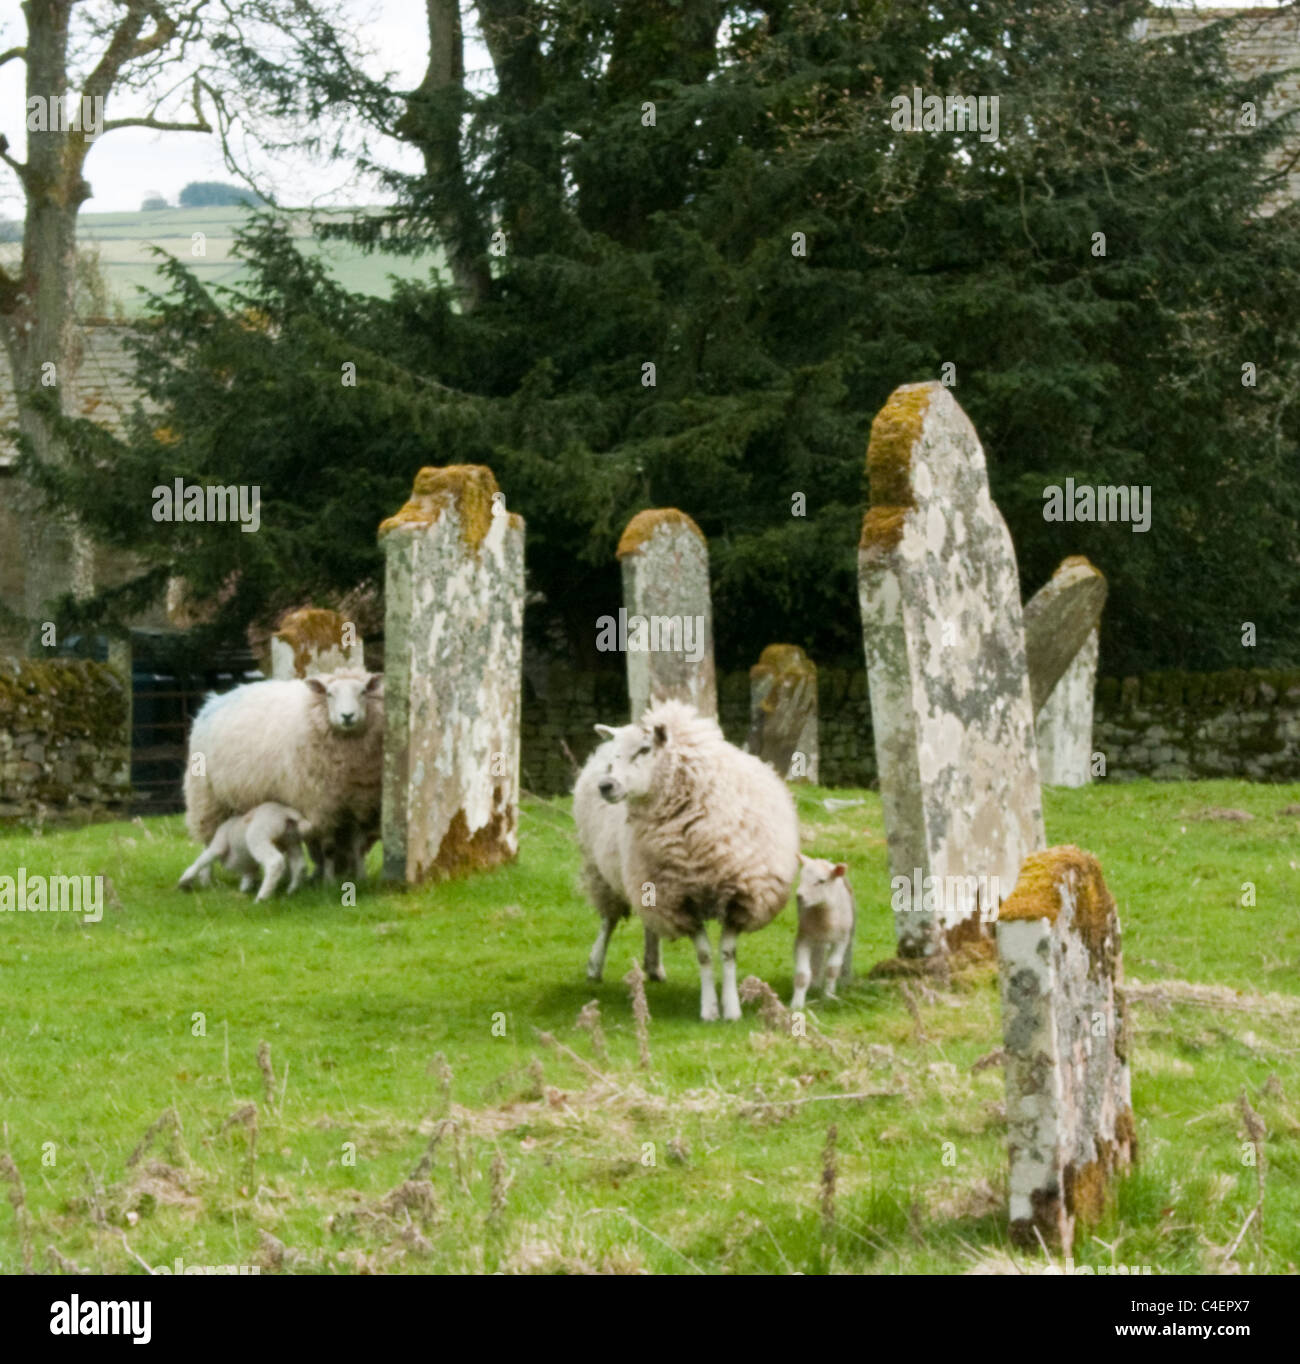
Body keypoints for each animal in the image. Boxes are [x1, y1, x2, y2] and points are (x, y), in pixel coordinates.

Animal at [177, 801, 313, 901]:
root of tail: (286, 813)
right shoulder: (247, 861)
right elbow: (249, 872)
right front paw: (245, 888)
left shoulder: (219, 844)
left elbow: (202, 860)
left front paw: (185, 880)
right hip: (292, 840)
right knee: (300, 865)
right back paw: (292, 889)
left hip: (258, 836)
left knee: (274, 862)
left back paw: (262, 897)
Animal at [183, 669, 383, 882]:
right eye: (329, 694)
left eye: (363, 692)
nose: (347, 716)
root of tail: (214, 700)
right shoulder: (320, 805)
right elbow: (328, 849)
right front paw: (329, 881)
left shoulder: (358, 804)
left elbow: (357, 847)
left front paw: (360, 878)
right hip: (206, 797)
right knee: (208, 840)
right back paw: (206, 879)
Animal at [597, 698, 799, 1021]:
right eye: (613, 753)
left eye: (645, 749)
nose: (605, 785)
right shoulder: (680, 901)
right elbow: (704, 955)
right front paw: (709, 1009)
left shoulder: (740, 896)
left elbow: (728, 954)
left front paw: (732, 1009)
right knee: (610, 918)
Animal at [790, 853, 856, 1011]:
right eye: (801, 877)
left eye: (821, 881)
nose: (799, 896)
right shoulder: (803, 938)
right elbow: (802, 975)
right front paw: (797, 1005)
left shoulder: (841, 940)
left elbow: (832, 969)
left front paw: (829, 996)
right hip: (815, 938)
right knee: (818, 955)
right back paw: (815, 983)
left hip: (849, 934)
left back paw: (844, 979)